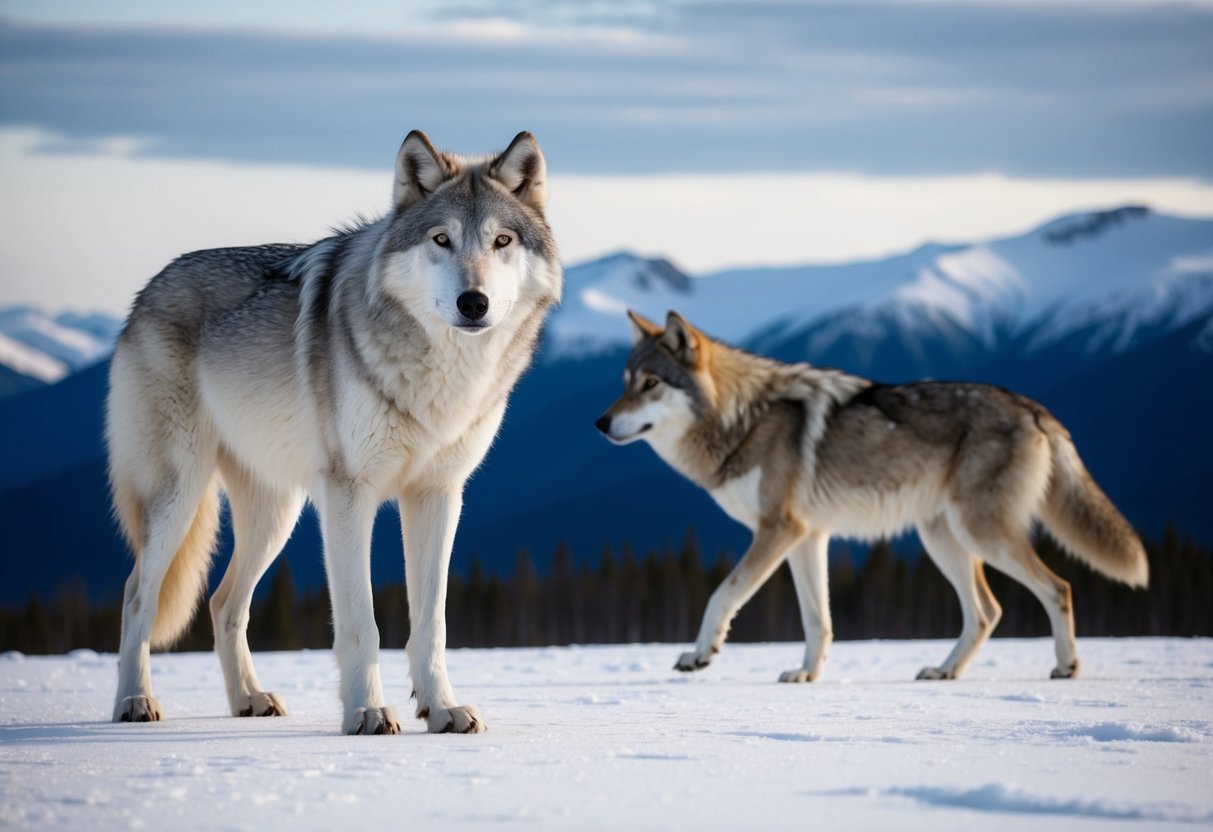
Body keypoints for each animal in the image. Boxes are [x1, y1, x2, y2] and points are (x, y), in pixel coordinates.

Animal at [108, 130, 562, 734]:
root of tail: (148, 289)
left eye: (502, 240)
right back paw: (135, 701)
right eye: (441, 239)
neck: (442, 378)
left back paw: (249, 700)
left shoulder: (439, 495)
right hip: (181, 494)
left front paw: (441, 709)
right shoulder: (350, 495)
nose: (474, 302)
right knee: (139, 593)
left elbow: (432, 625)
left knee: (224, 604)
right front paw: (367, 712)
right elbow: (361, 623)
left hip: (277, 514)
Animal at [596, 310, 1147, 682]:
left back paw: (1067, 667)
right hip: (943, 540)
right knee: (987, 611)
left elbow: (722, 594)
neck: (742, 418)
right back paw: (944, 671)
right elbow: (817, 619)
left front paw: (700, 655)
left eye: (650, 383)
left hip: (981, 535)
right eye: (623, 383)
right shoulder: (806, 537)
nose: (600, 423)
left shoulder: (777, 531)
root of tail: (1034, 407)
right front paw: (806, 676)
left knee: (1058, 588)